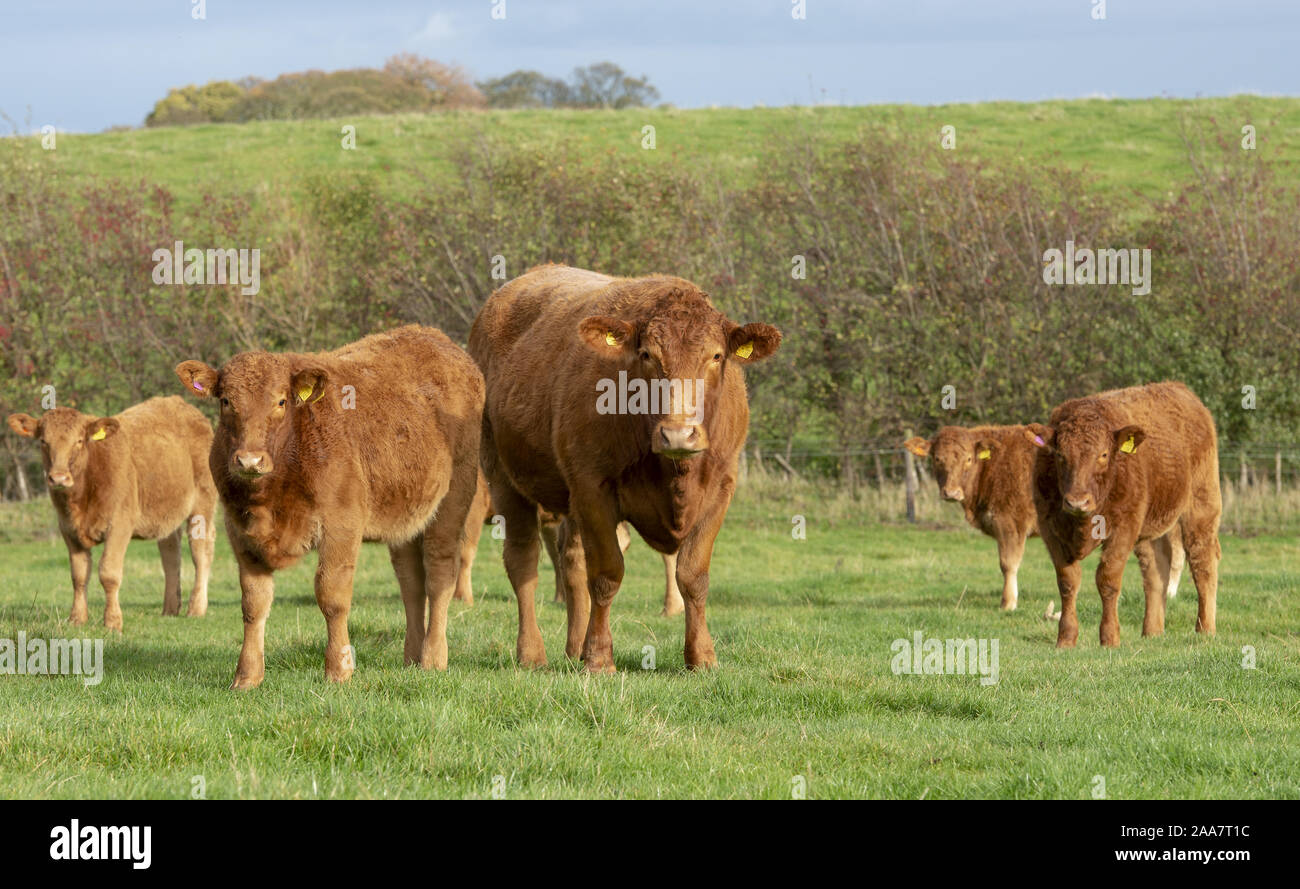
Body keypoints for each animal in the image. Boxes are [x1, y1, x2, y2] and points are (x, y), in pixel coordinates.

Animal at [7, 397, 216, 631]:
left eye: (79, 440)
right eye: (43, 441)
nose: (59, 478)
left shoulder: (120, 524)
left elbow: (109, 573)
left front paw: (113, 621)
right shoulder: (68, 529)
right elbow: (79, 575)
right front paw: (77, 618)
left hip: (203, 504)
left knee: (201, 553)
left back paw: (196, 608)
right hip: (166, 510)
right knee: (170, 554)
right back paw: (170, 609)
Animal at [175, 324, 483, 688]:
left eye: (281, 401)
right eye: (226, 401)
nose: (249, 460)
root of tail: (435, 338)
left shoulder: (342, 525)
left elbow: (331, 595)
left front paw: (339, 669)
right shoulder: (239, 531)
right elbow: (253, 603)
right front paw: (247, 676)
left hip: (454, 499)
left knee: (439, 575)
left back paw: (433, 658)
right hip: (405, 517)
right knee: (411, 582)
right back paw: (412, 656)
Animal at [468, 264, 780, 672]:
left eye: (715, 356)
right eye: (647, 354)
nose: (678, 434)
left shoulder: (720, 488)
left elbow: (693, 575)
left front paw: (702, 656)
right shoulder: (593, 486)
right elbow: (606, 574)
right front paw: (600, 659)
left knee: (571, 561)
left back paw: (574, 647)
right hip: (503, 477)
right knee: (523, 562)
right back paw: (533, 653)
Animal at [904, 425, 1040, 610]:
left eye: (968, 458)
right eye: (937, 458)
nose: (951, 492)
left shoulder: (1011, 524)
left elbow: (1008, 564)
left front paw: (1008, 603)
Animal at [1024, 381, 1219, 648]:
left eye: (1104, 454)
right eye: (1060, 455)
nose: (1077, 501)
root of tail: (1179, 388)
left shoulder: (1123, 529)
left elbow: (1107, 580)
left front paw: (1109, 638)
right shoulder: (1051, 530)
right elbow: (1067, 582)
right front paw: (1065, 638)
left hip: (1201, 508)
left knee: (1203, 563)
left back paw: (1205, 629)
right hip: (1150, 529)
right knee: (1155, 571)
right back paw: (1152, 631)